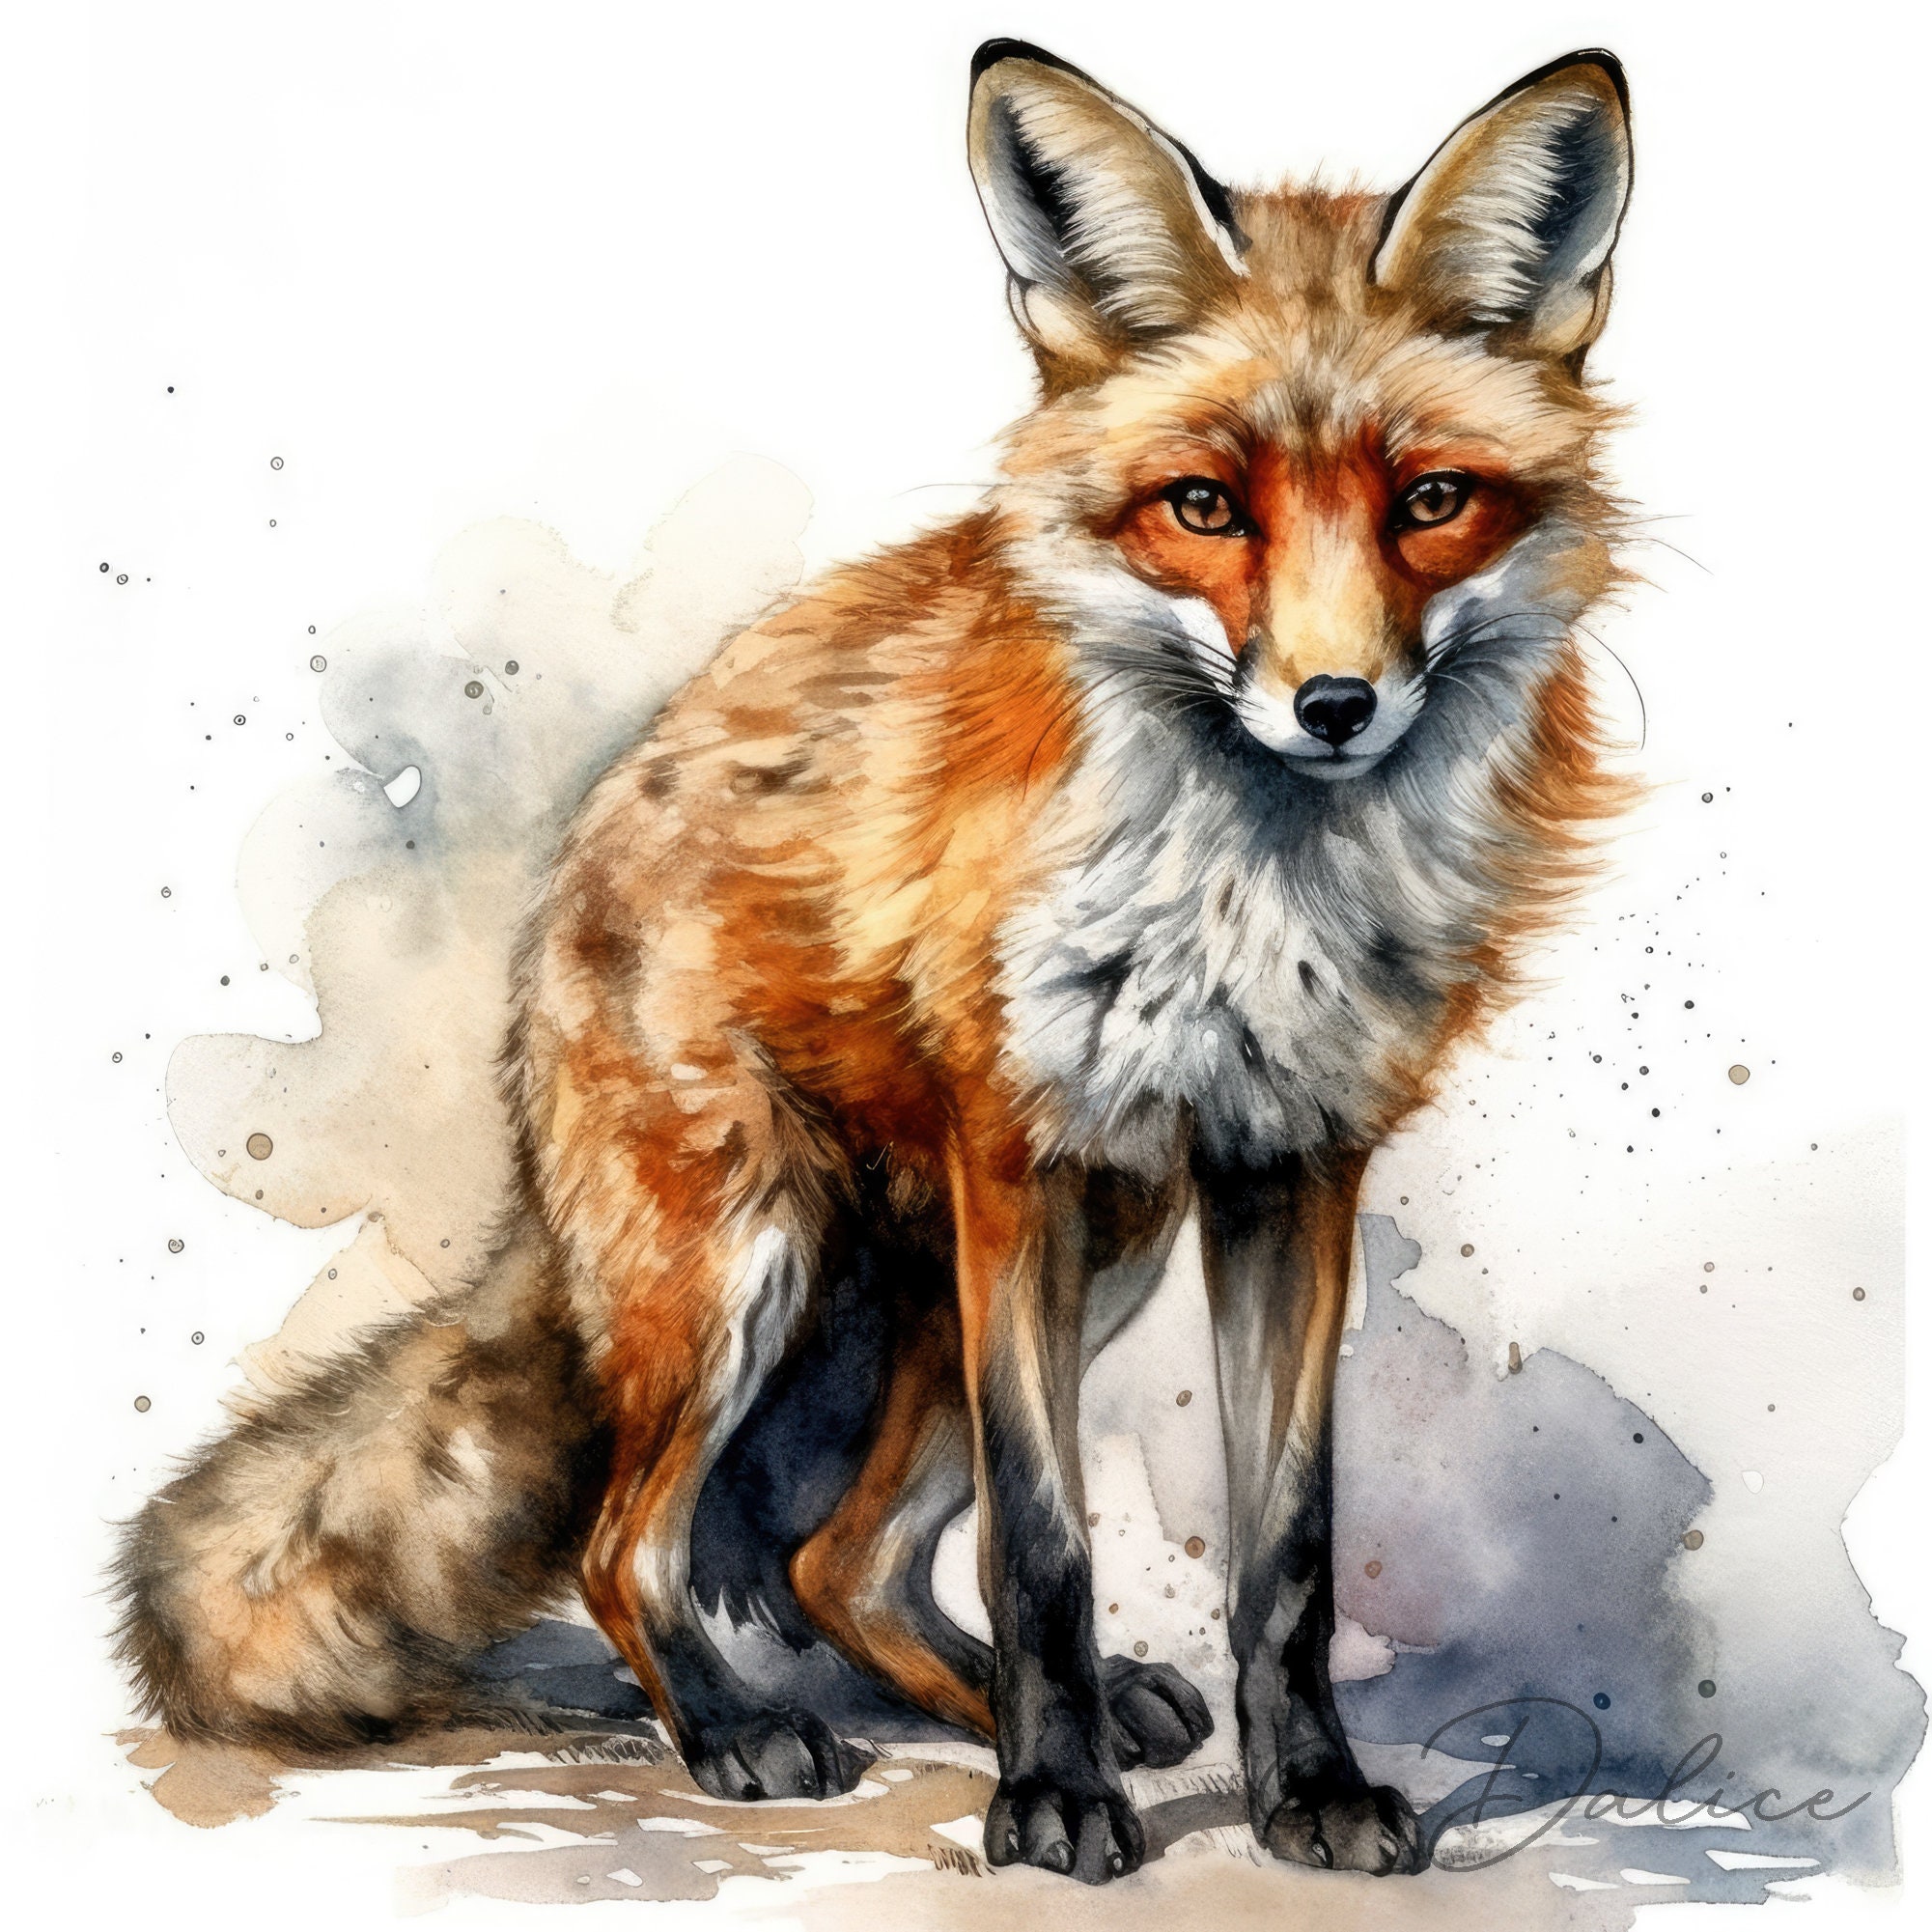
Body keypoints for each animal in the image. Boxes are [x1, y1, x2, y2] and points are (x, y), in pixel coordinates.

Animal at [115, 41, 1636, 1886]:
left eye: (1431, 502)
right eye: (1204, 508)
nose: (1333, 706)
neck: (1249, 888)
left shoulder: (1290, 1166)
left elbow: (1287, 1551)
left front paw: (1305, 1791)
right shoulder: (1017, 1155)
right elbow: (1046, 1543)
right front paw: (1052, 1805)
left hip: (1087, 1241)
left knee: (834, 1559)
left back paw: (1017, 1710)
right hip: (750, 1264)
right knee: (635, 1543)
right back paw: (741, 1730)